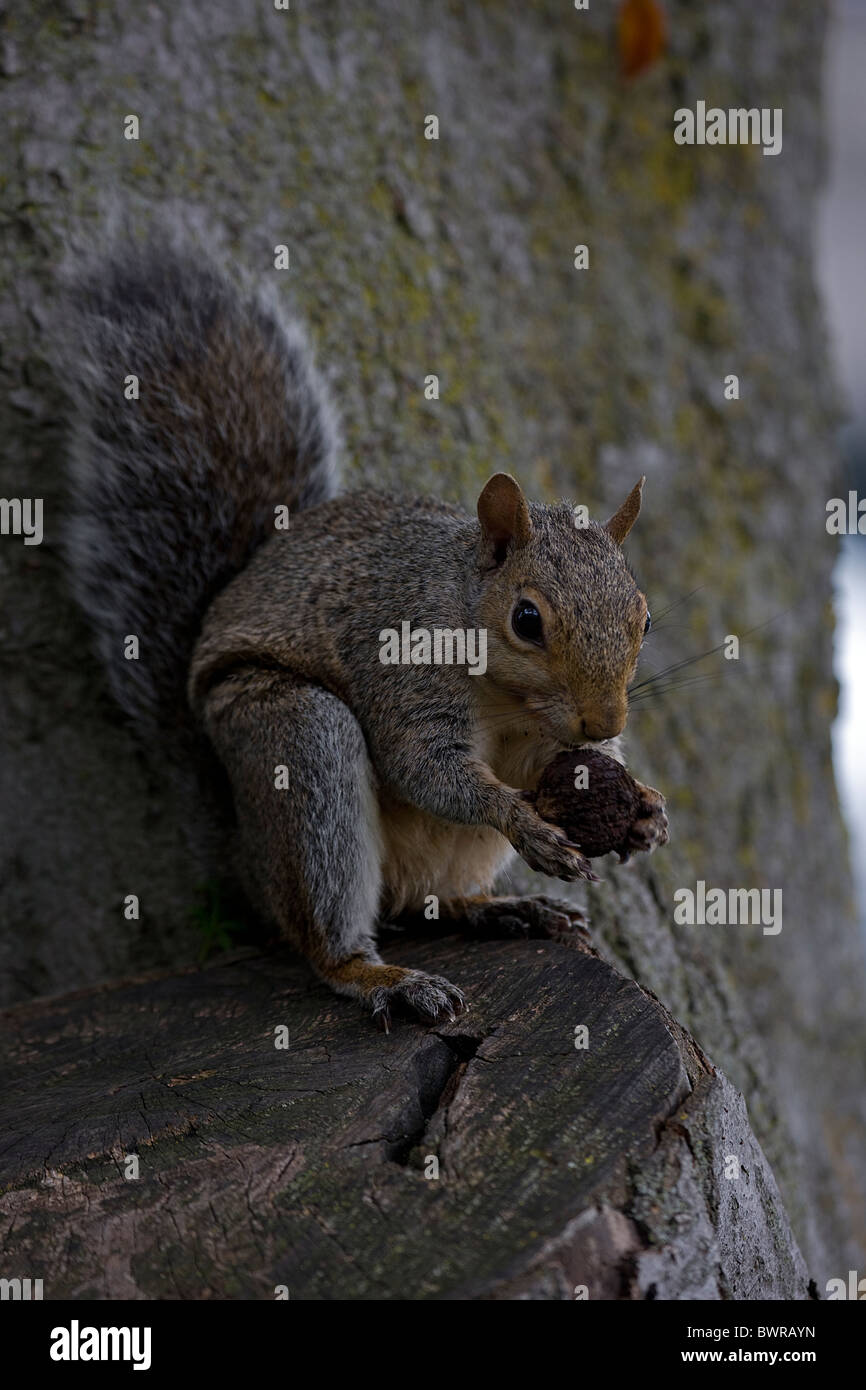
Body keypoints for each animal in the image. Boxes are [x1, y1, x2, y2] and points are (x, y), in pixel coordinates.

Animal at [61, 236, 668, 1029]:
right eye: (527, 620)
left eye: (645, 617)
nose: (605, 724)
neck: (507, 695)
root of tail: (245, 855)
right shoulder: (401, 670)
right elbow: (427, 769)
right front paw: (526, 820)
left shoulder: (541, 737)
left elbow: (548, 767)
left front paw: (643, 811)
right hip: (294, 737)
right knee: (328, 930)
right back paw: (385, 977)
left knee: (425, 903)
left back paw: (502, 910)